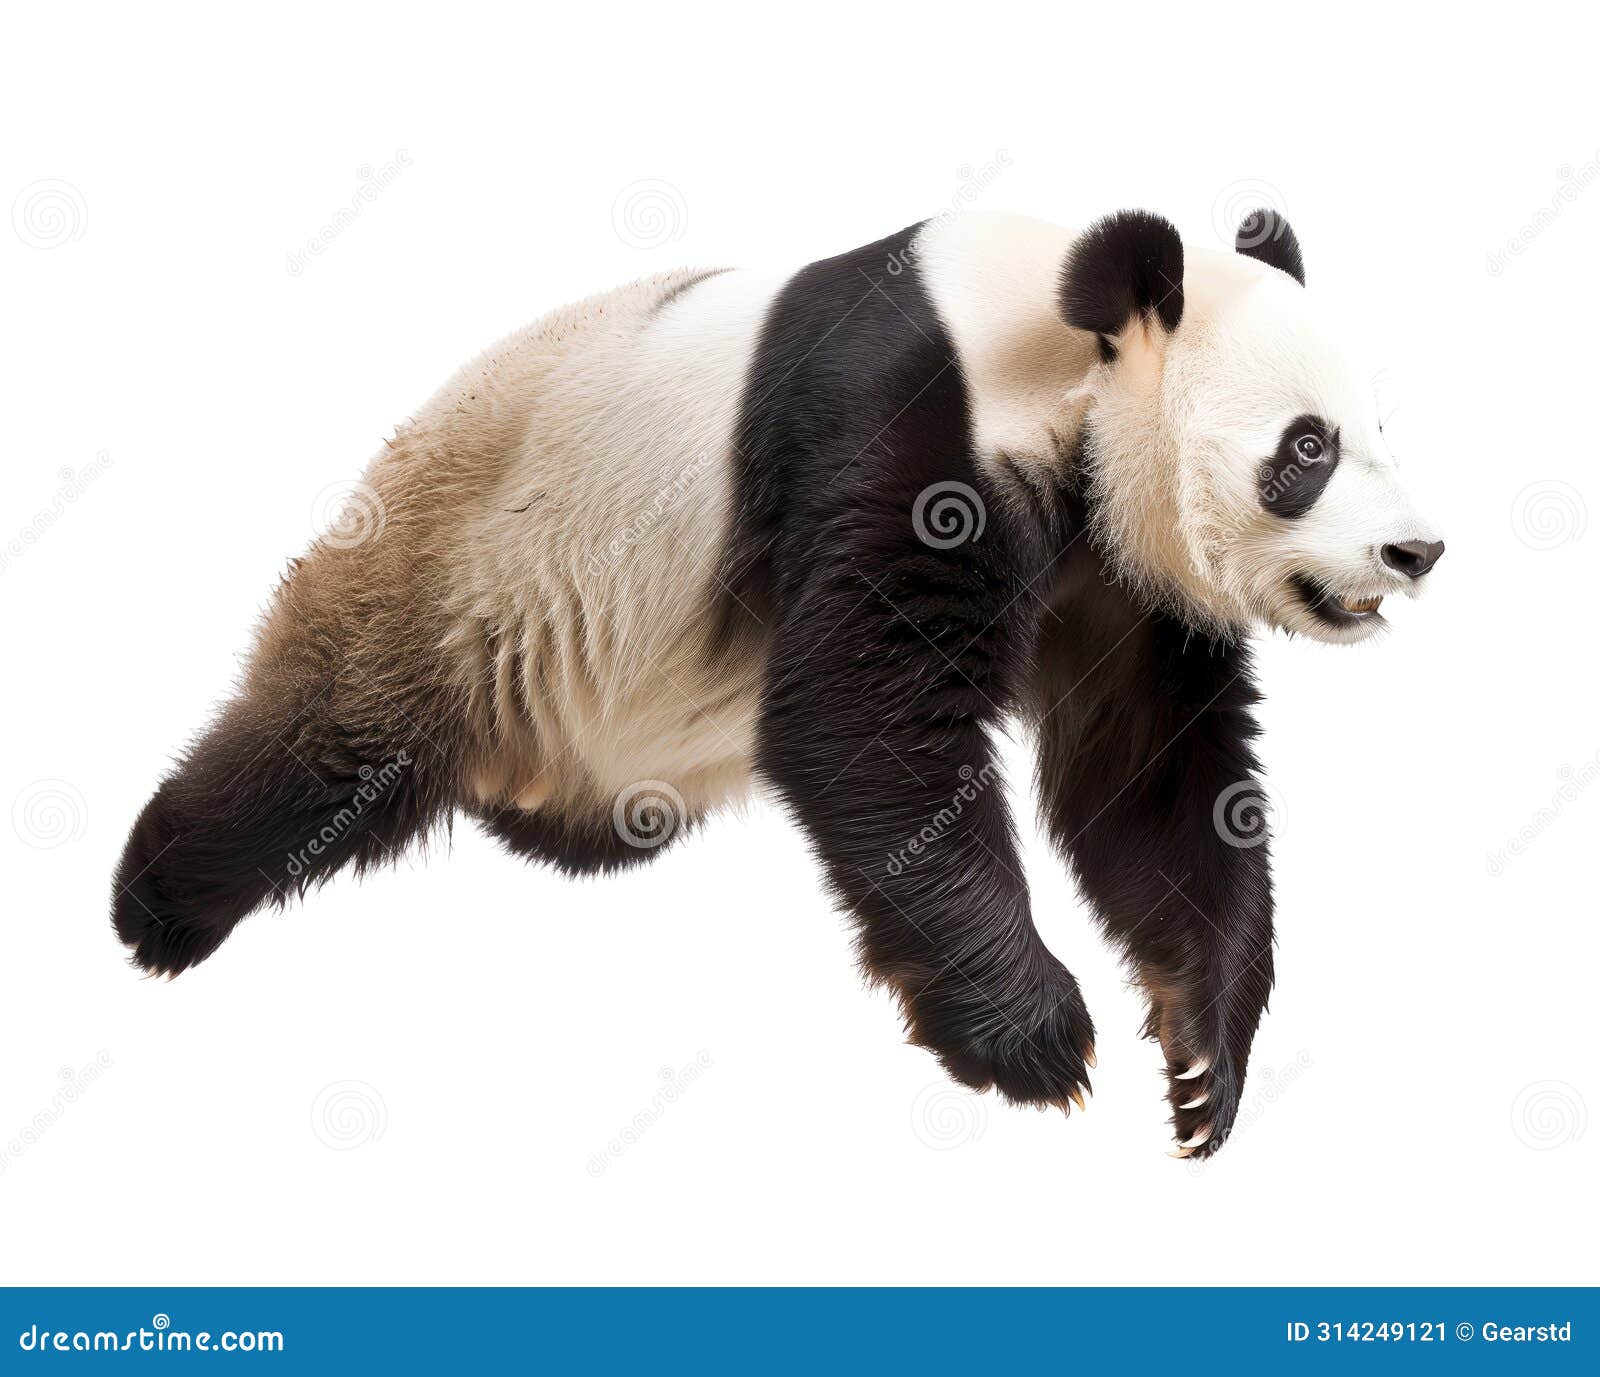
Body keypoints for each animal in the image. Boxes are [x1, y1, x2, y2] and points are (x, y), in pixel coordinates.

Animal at [113, 207, 1443, 1158]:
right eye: (1307, 449)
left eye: (1380, 434)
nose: (1416, 552)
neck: (1048, 348)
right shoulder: (906, 428)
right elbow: (861, 719)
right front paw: (1032, 1040)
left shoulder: (1115, 565)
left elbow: (1148, 774)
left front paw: (1200, 1059)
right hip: (456, 567)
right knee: (327, 747)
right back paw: (158, 905)